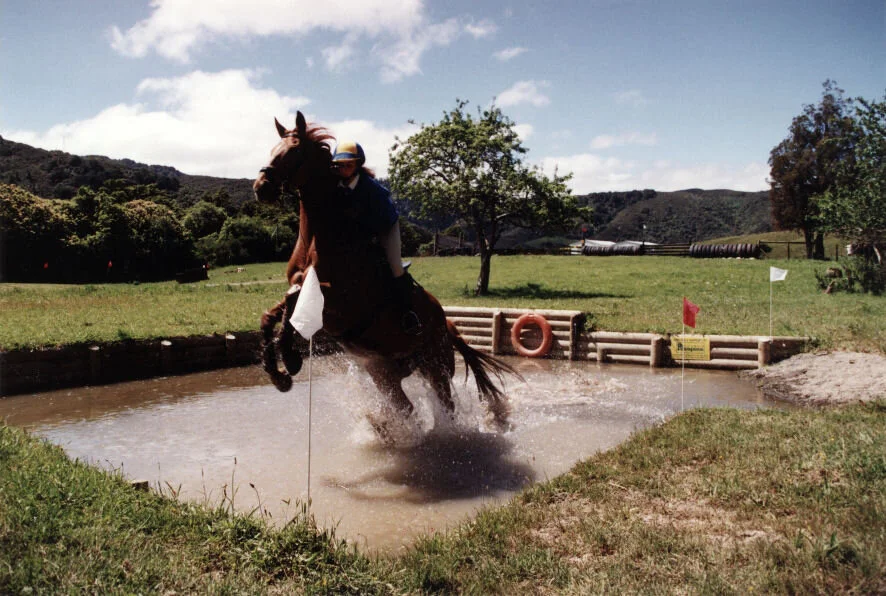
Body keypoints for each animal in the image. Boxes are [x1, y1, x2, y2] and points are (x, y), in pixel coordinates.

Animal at [253, 111, 517, 434]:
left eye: (293, 153)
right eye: (272, 150)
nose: (261, 187)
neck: (326, 236)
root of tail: (447, 324)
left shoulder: (341, 307)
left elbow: (293, 303)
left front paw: (290, 360)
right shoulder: (302, 289)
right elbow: (274, 311)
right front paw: (277, 373)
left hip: (436, 365)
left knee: (445, 405)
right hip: (384, 372)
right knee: (405, 407)